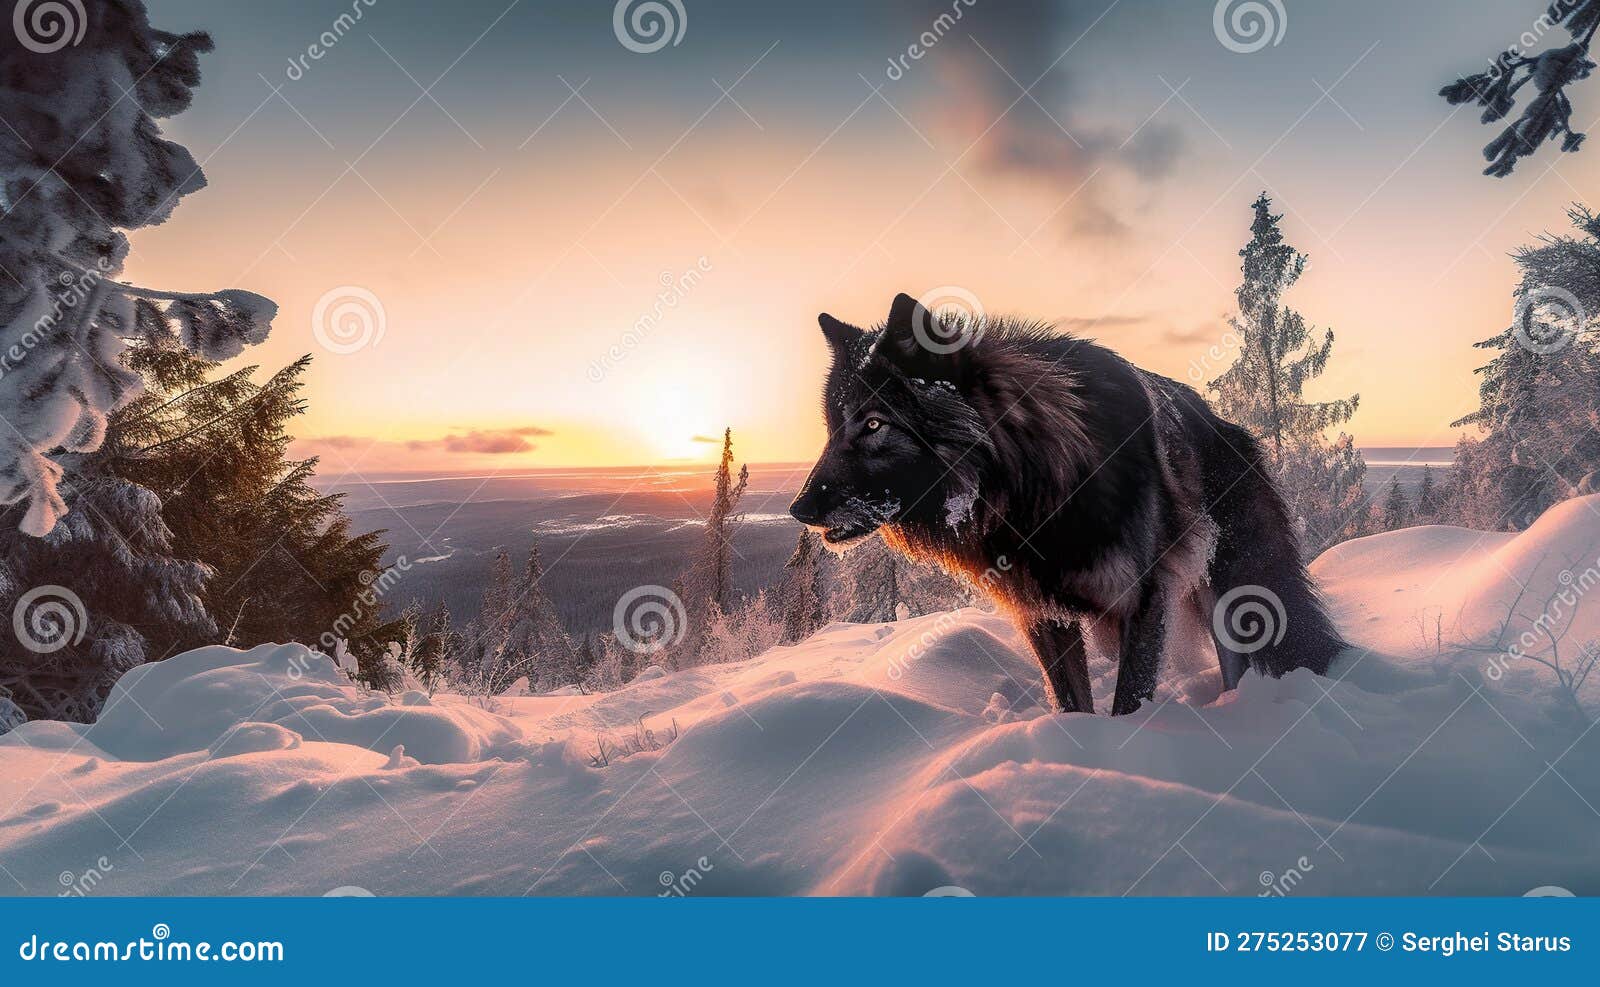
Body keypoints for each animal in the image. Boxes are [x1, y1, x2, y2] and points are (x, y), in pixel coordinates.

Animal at [788, 293, 1346, 715]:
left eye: (873, 423)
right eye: (832, 428)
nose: (798, 511)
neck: (1028, 490)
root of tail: (1230, 429)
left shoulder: (1144, 601)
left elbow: (1127, 703)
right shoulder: (1043, 614)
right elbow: (1072, 702)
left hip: (1234, 597)